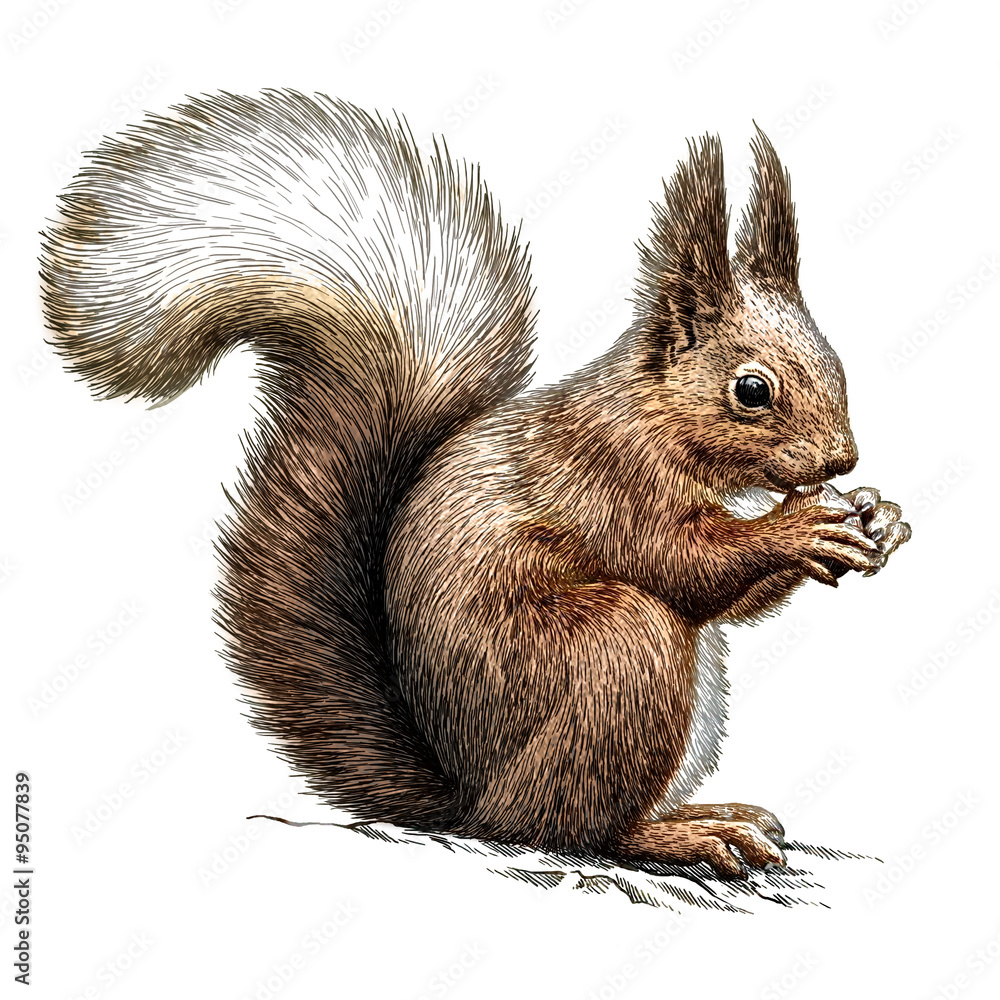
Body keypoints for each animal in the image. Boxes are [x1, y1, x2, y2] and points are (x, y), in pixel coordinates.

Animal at [41, 89, 911, 879]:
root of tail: (470, 800)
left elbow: (732, 603)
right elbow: (680, 565)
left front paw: (881, 518)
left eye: (834, 358)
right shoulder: (603, 474)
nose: (843, 460)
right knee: (567, 823)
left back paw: (715, 811)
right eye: (751, 390)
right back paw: (682, 836)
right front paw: (799, 528)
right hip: (615, 654)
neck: (657, 418)